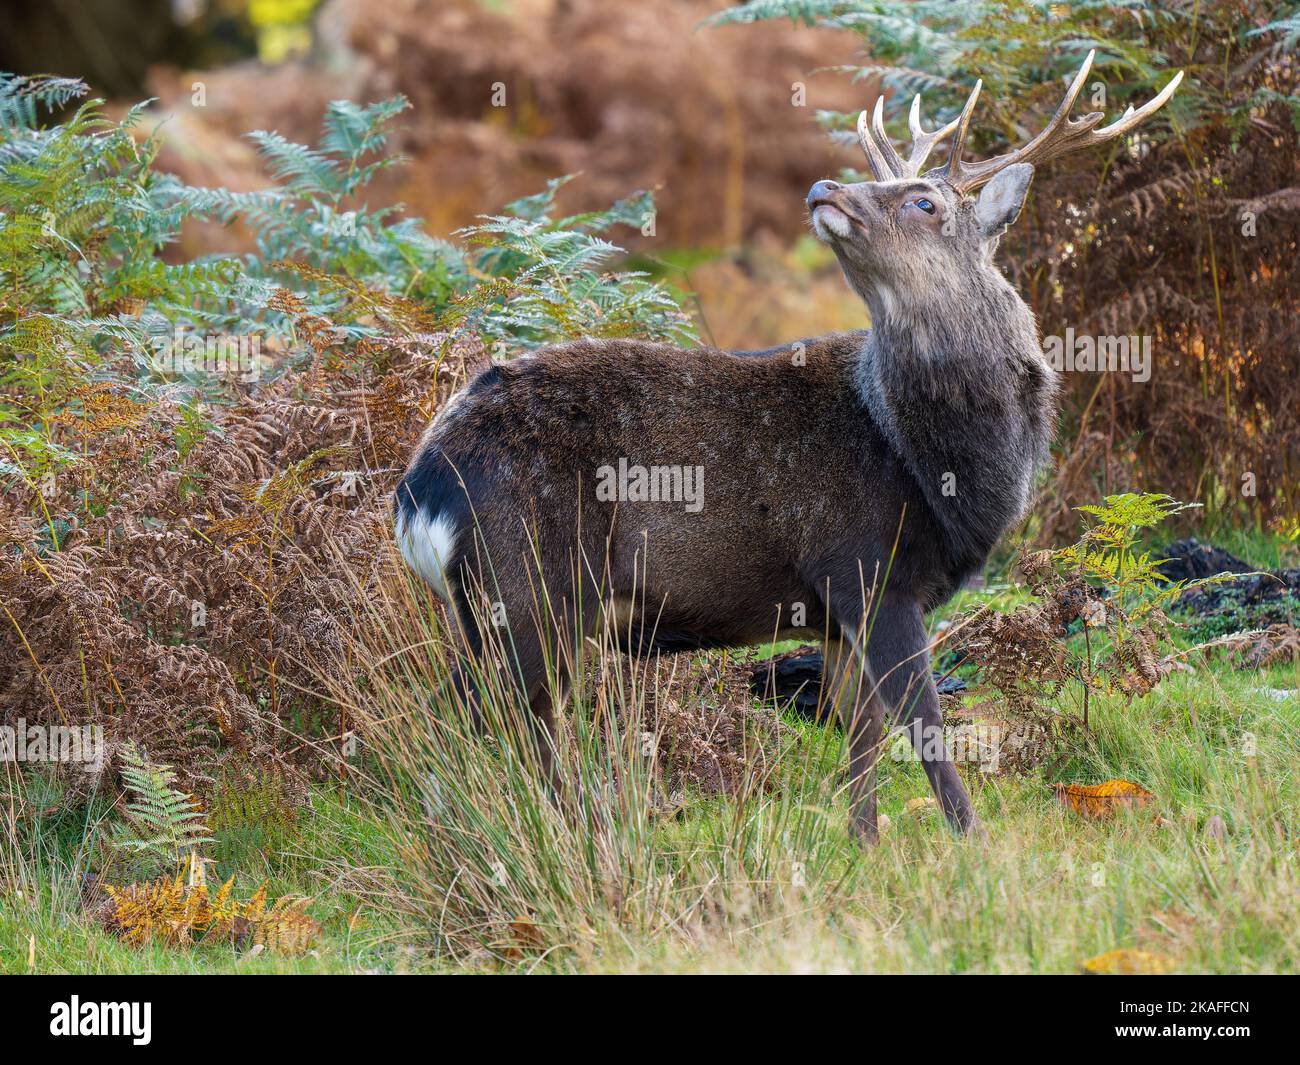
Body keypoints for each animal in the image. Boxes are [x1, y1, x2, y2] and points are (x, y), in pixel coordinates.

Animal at [394, 51, 1182, 842]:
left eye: (924, 202)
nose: (823, 187)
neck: (940, 470)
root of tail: (420, 490)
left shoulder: (836, 609)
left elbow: (862, 729)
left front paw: (864, 839)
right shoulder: (866, 566)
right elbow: (923, 724)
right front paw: (973, 841)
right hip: (526, 581)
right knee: (471, 717)